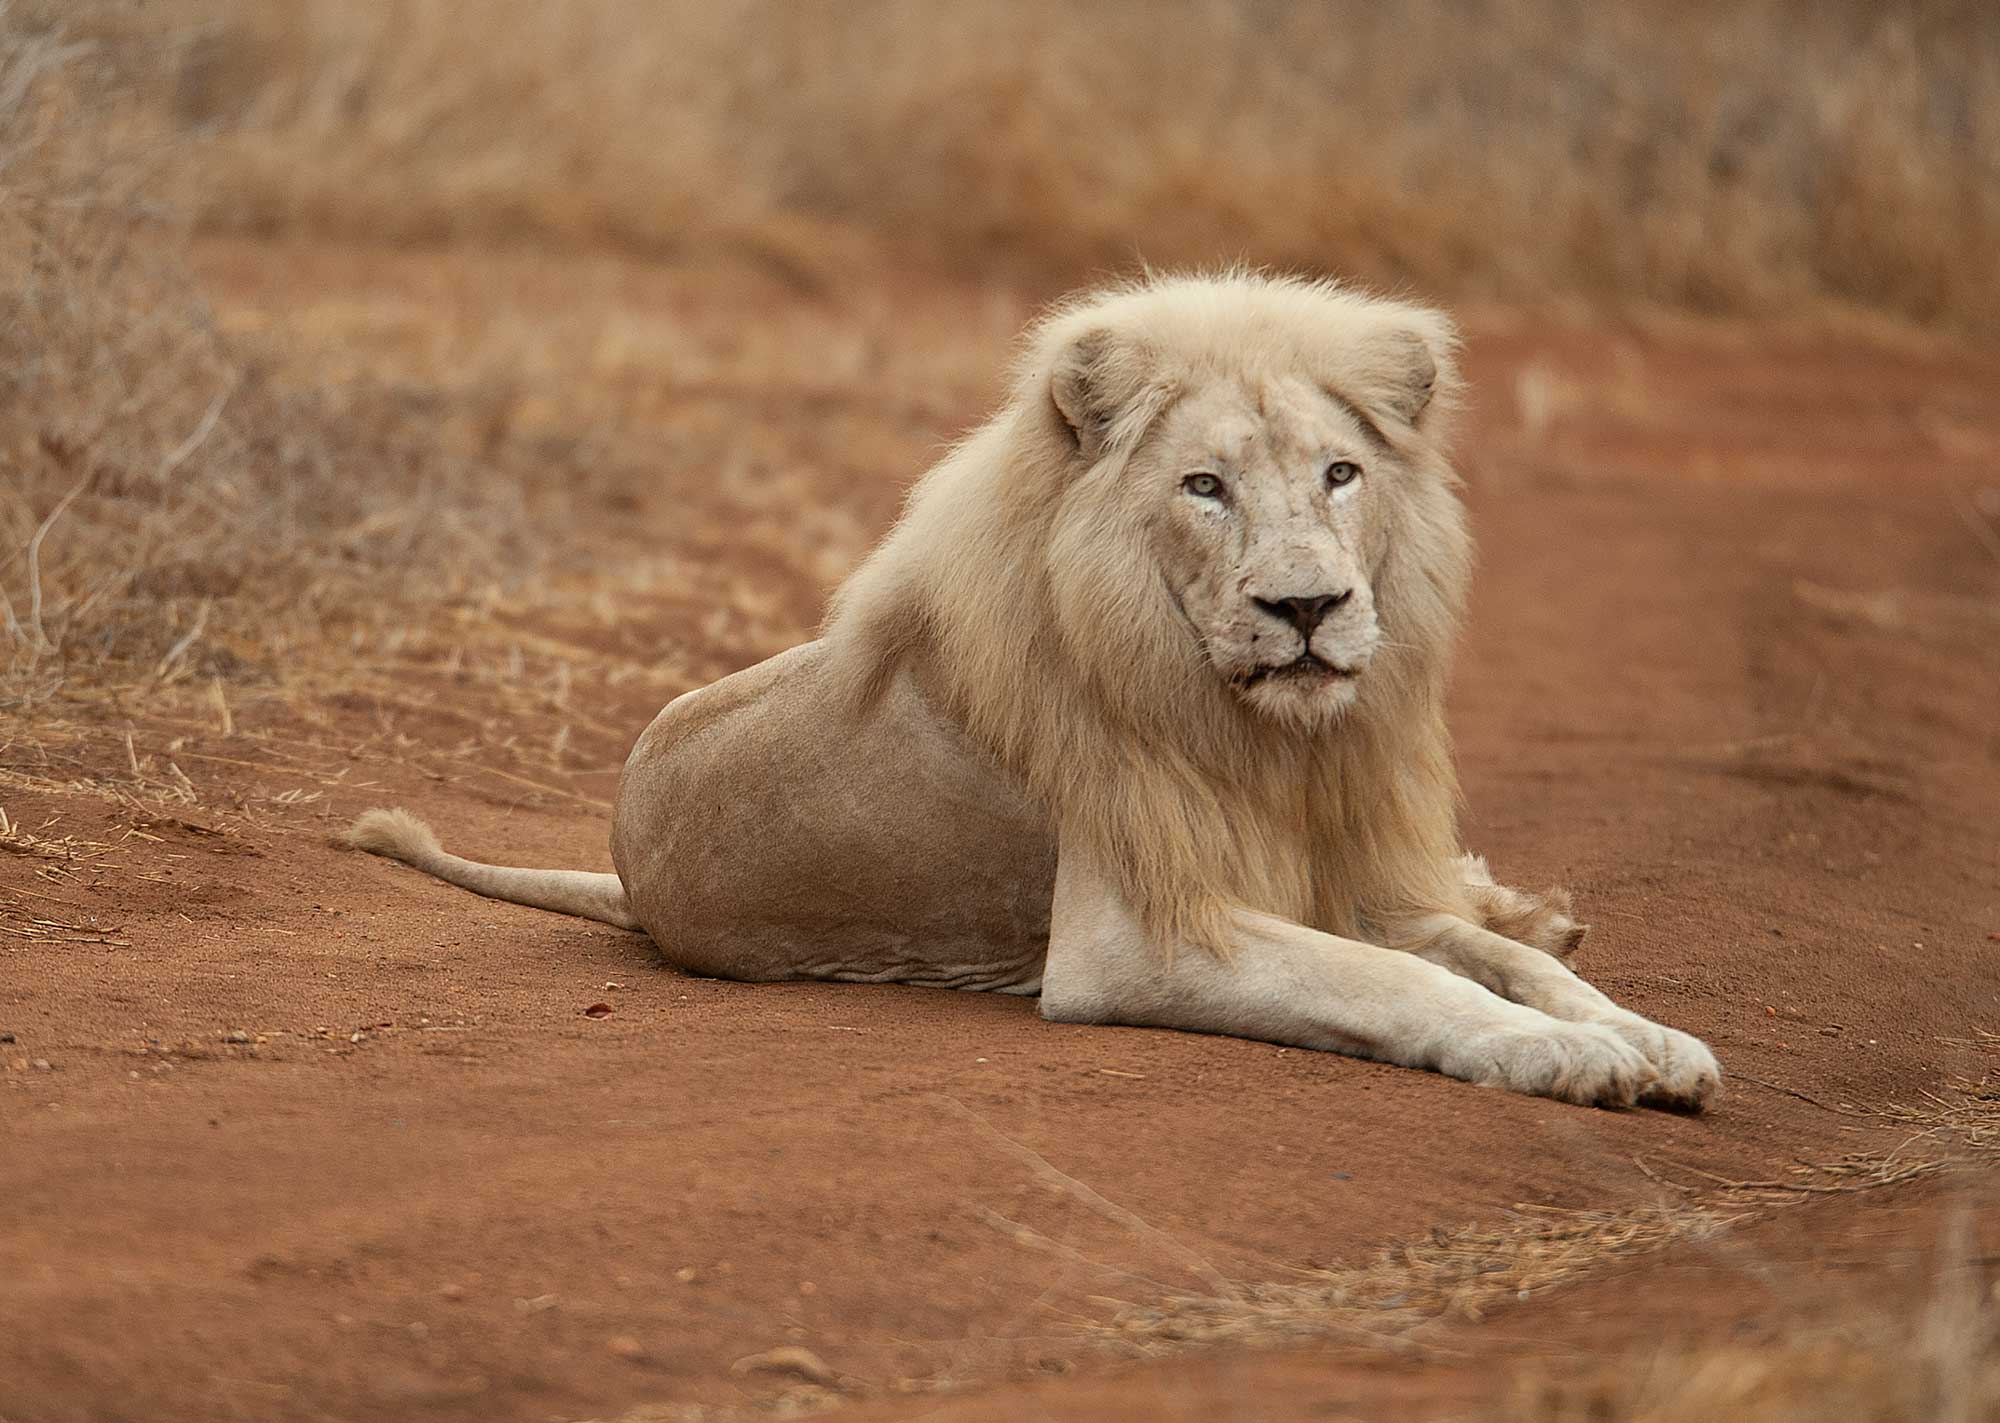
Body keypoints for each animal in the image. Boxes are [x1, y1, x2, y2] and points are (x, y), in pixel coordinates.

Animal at [347, 272, 1719, 1110]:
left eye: (1339, 473)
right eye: (1203, 486)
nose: (1307, 609)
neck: (1269, 741)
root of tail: (626, 877)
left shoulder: (1348, 874)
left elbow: (1494, 957)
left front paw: (1638, 1032)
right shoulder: (1135, 937)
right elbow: (1400, 983)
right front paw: (1564, 1053)